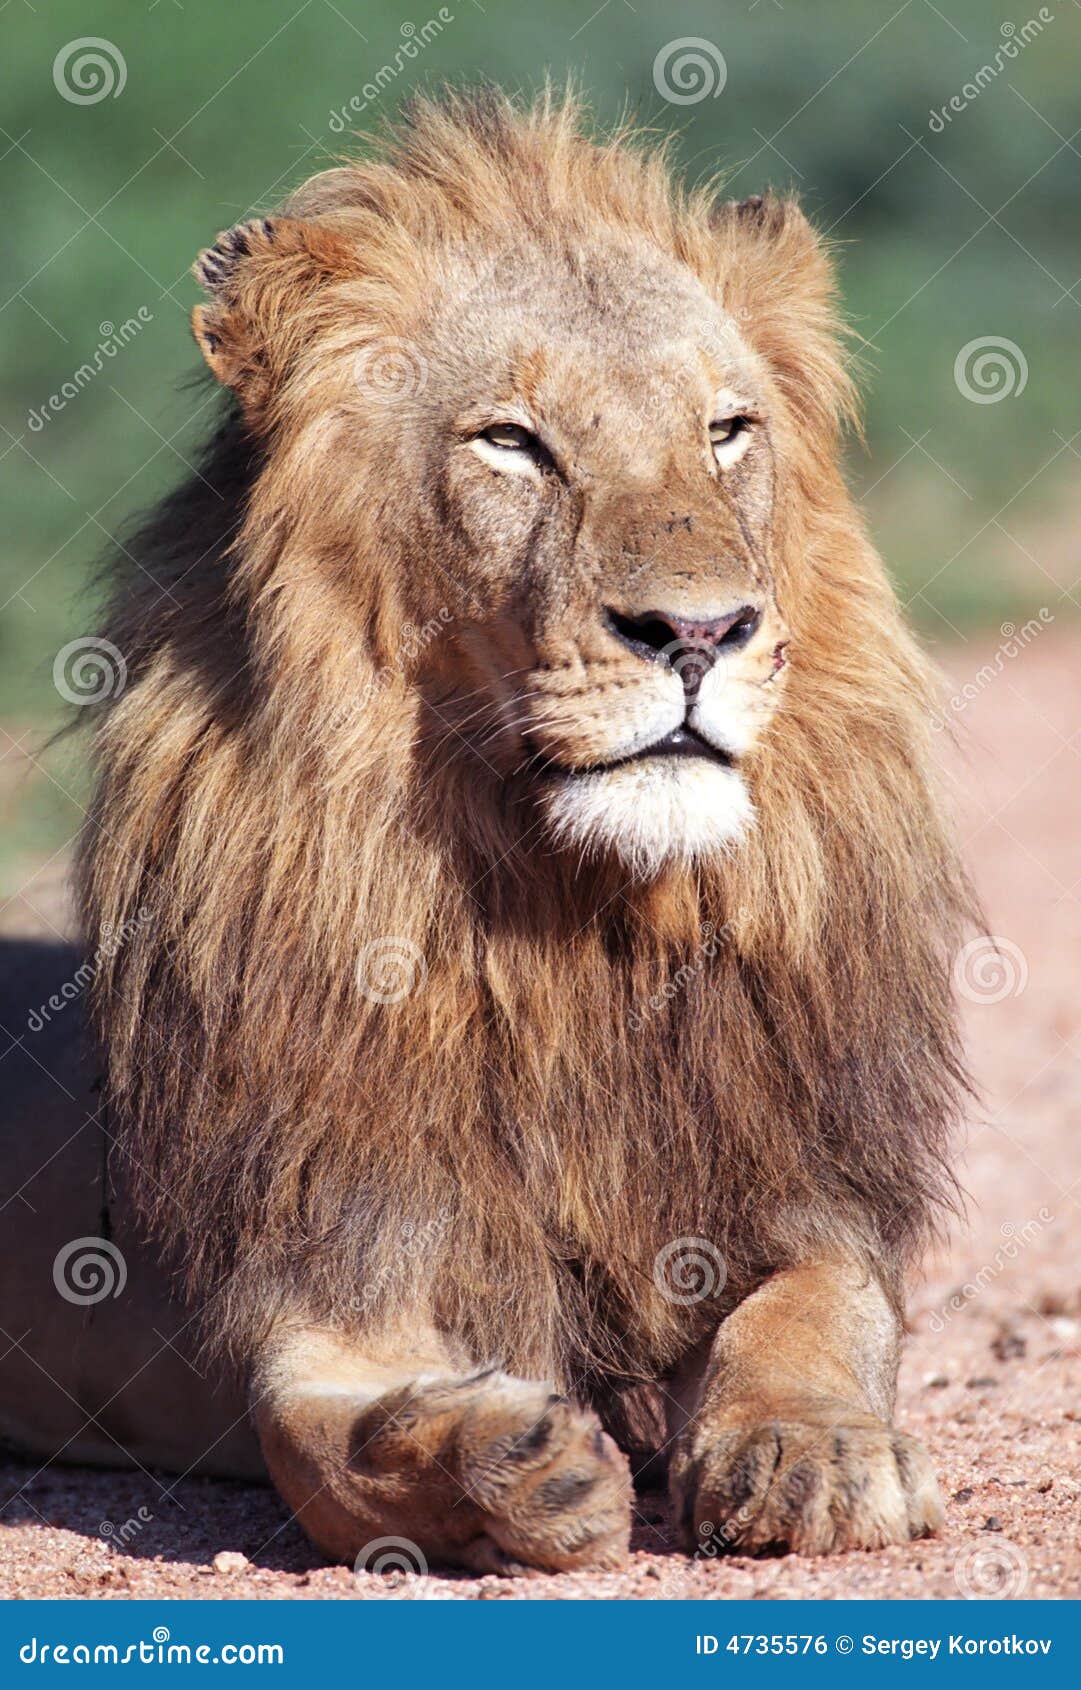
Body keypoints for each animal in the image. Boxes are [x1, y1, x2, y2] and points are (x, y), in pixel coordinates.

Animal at [9, 89, 976, 1575]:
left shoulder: (797, 1192)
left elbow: (816, 1309)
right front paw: (502, 1463)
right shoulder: (328, 1261)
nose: (699, 629)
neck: (569, 923)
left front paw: (807, 1451)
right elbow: (326, 1439)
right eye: (511, 441)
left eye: (727, 429)